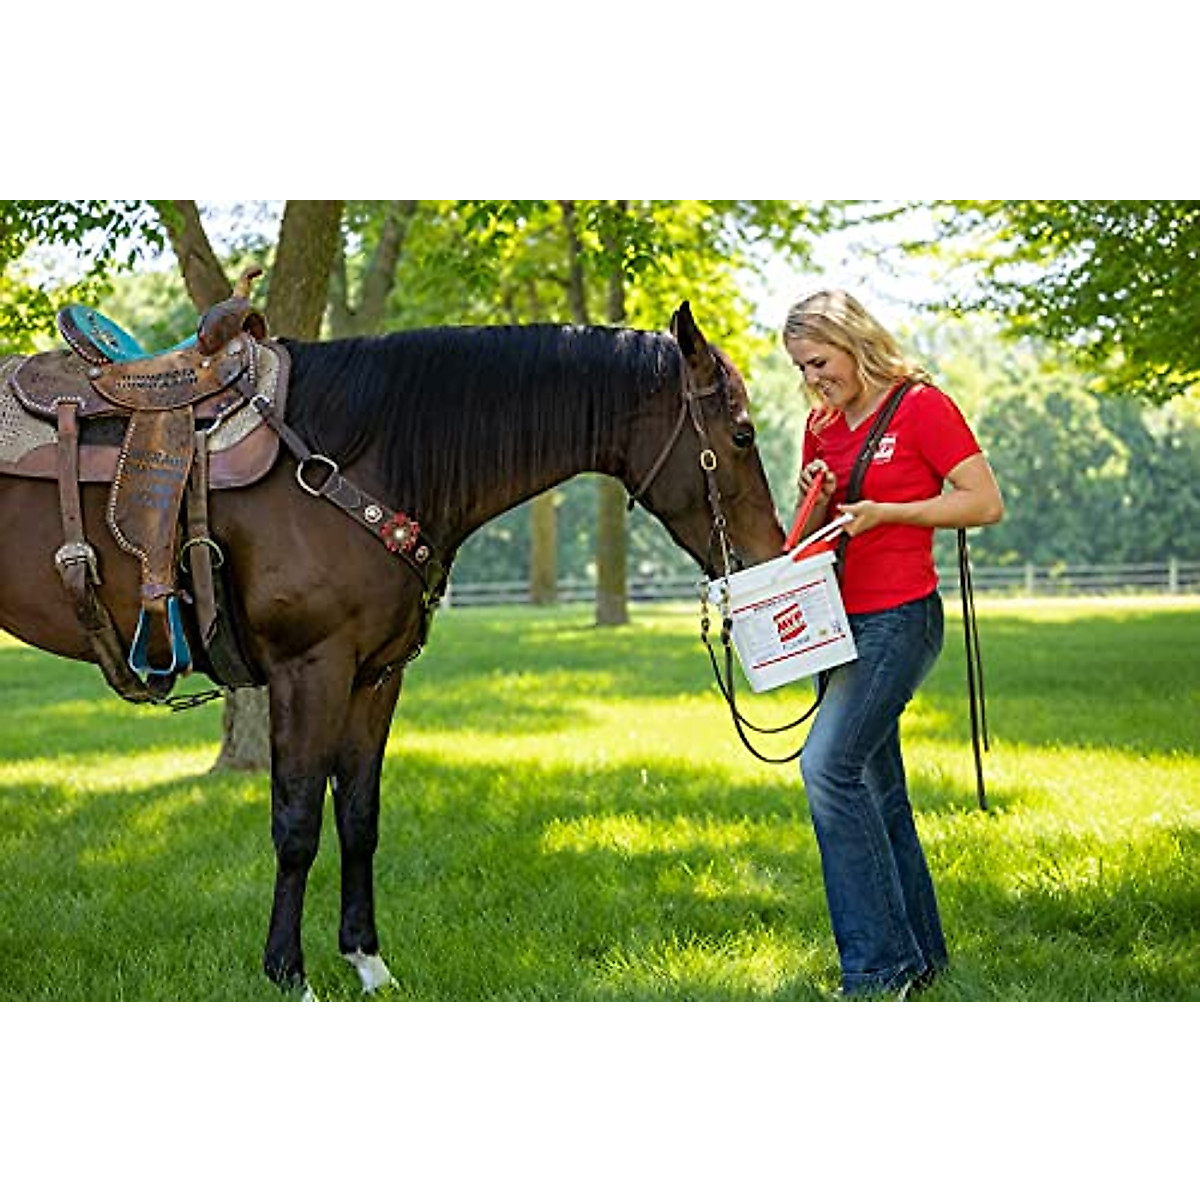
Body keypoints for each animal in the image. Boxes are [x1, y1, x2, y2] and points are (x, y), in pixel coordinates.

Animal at [0, 302, 785, 996]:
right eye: (744, 435)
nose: (765, 556)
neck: (360, 457)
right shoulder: (308, 670)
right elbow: (297, 823)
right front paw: (288, 973)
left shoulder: (374, 679)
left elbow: (359, 816)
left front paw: (366, 962)